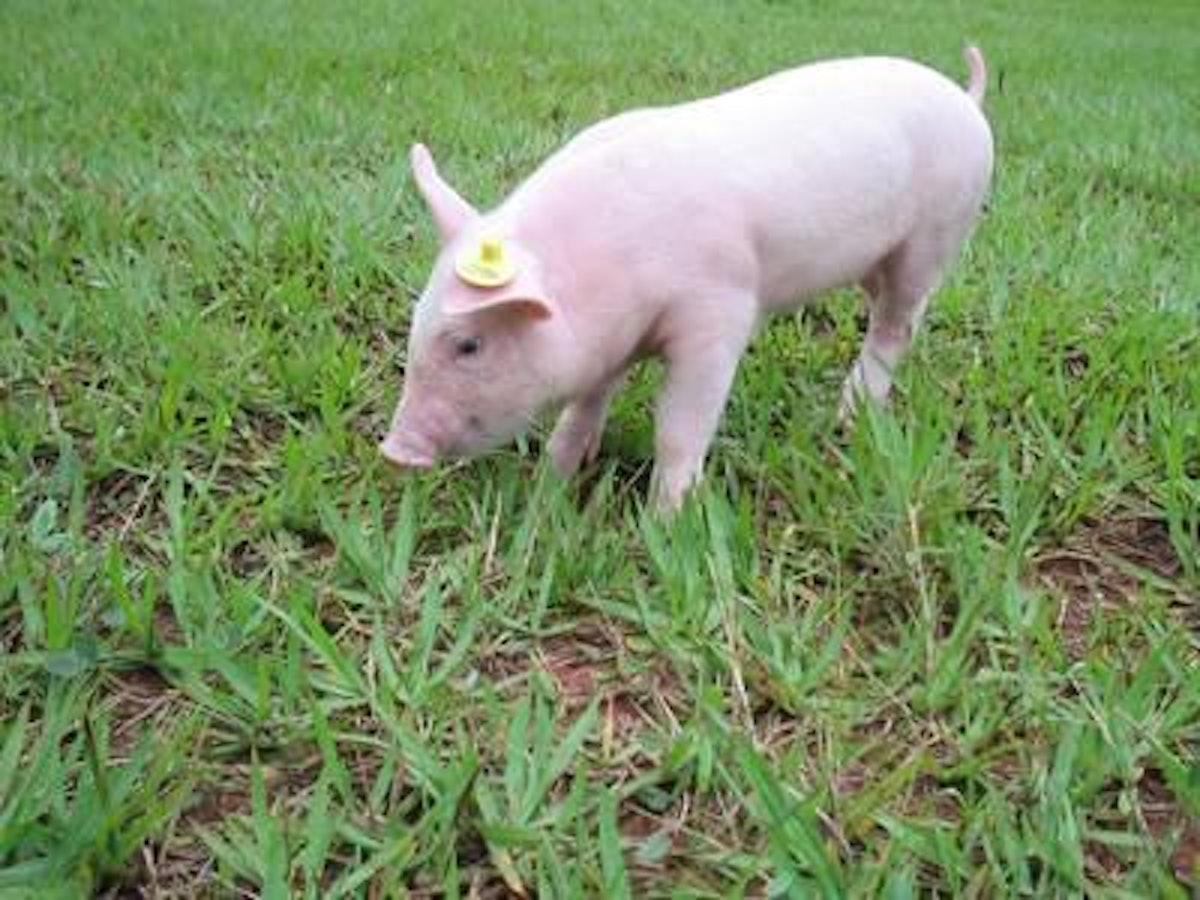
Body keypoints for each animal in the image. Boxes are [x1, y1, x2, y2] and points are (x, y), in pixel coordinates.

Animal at [381, 46, 993, 511]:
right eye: (416, 323)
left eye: (469, 344)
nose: (394, 450)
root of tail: (965, 96)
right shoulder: (608, 343)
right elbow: (586, 404)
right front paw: (553, 482)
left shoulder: (719, 311)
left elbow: (679, 425)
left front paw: (666, 521)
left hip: (937, 233)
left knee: (897, 324)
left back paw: (849, 420)